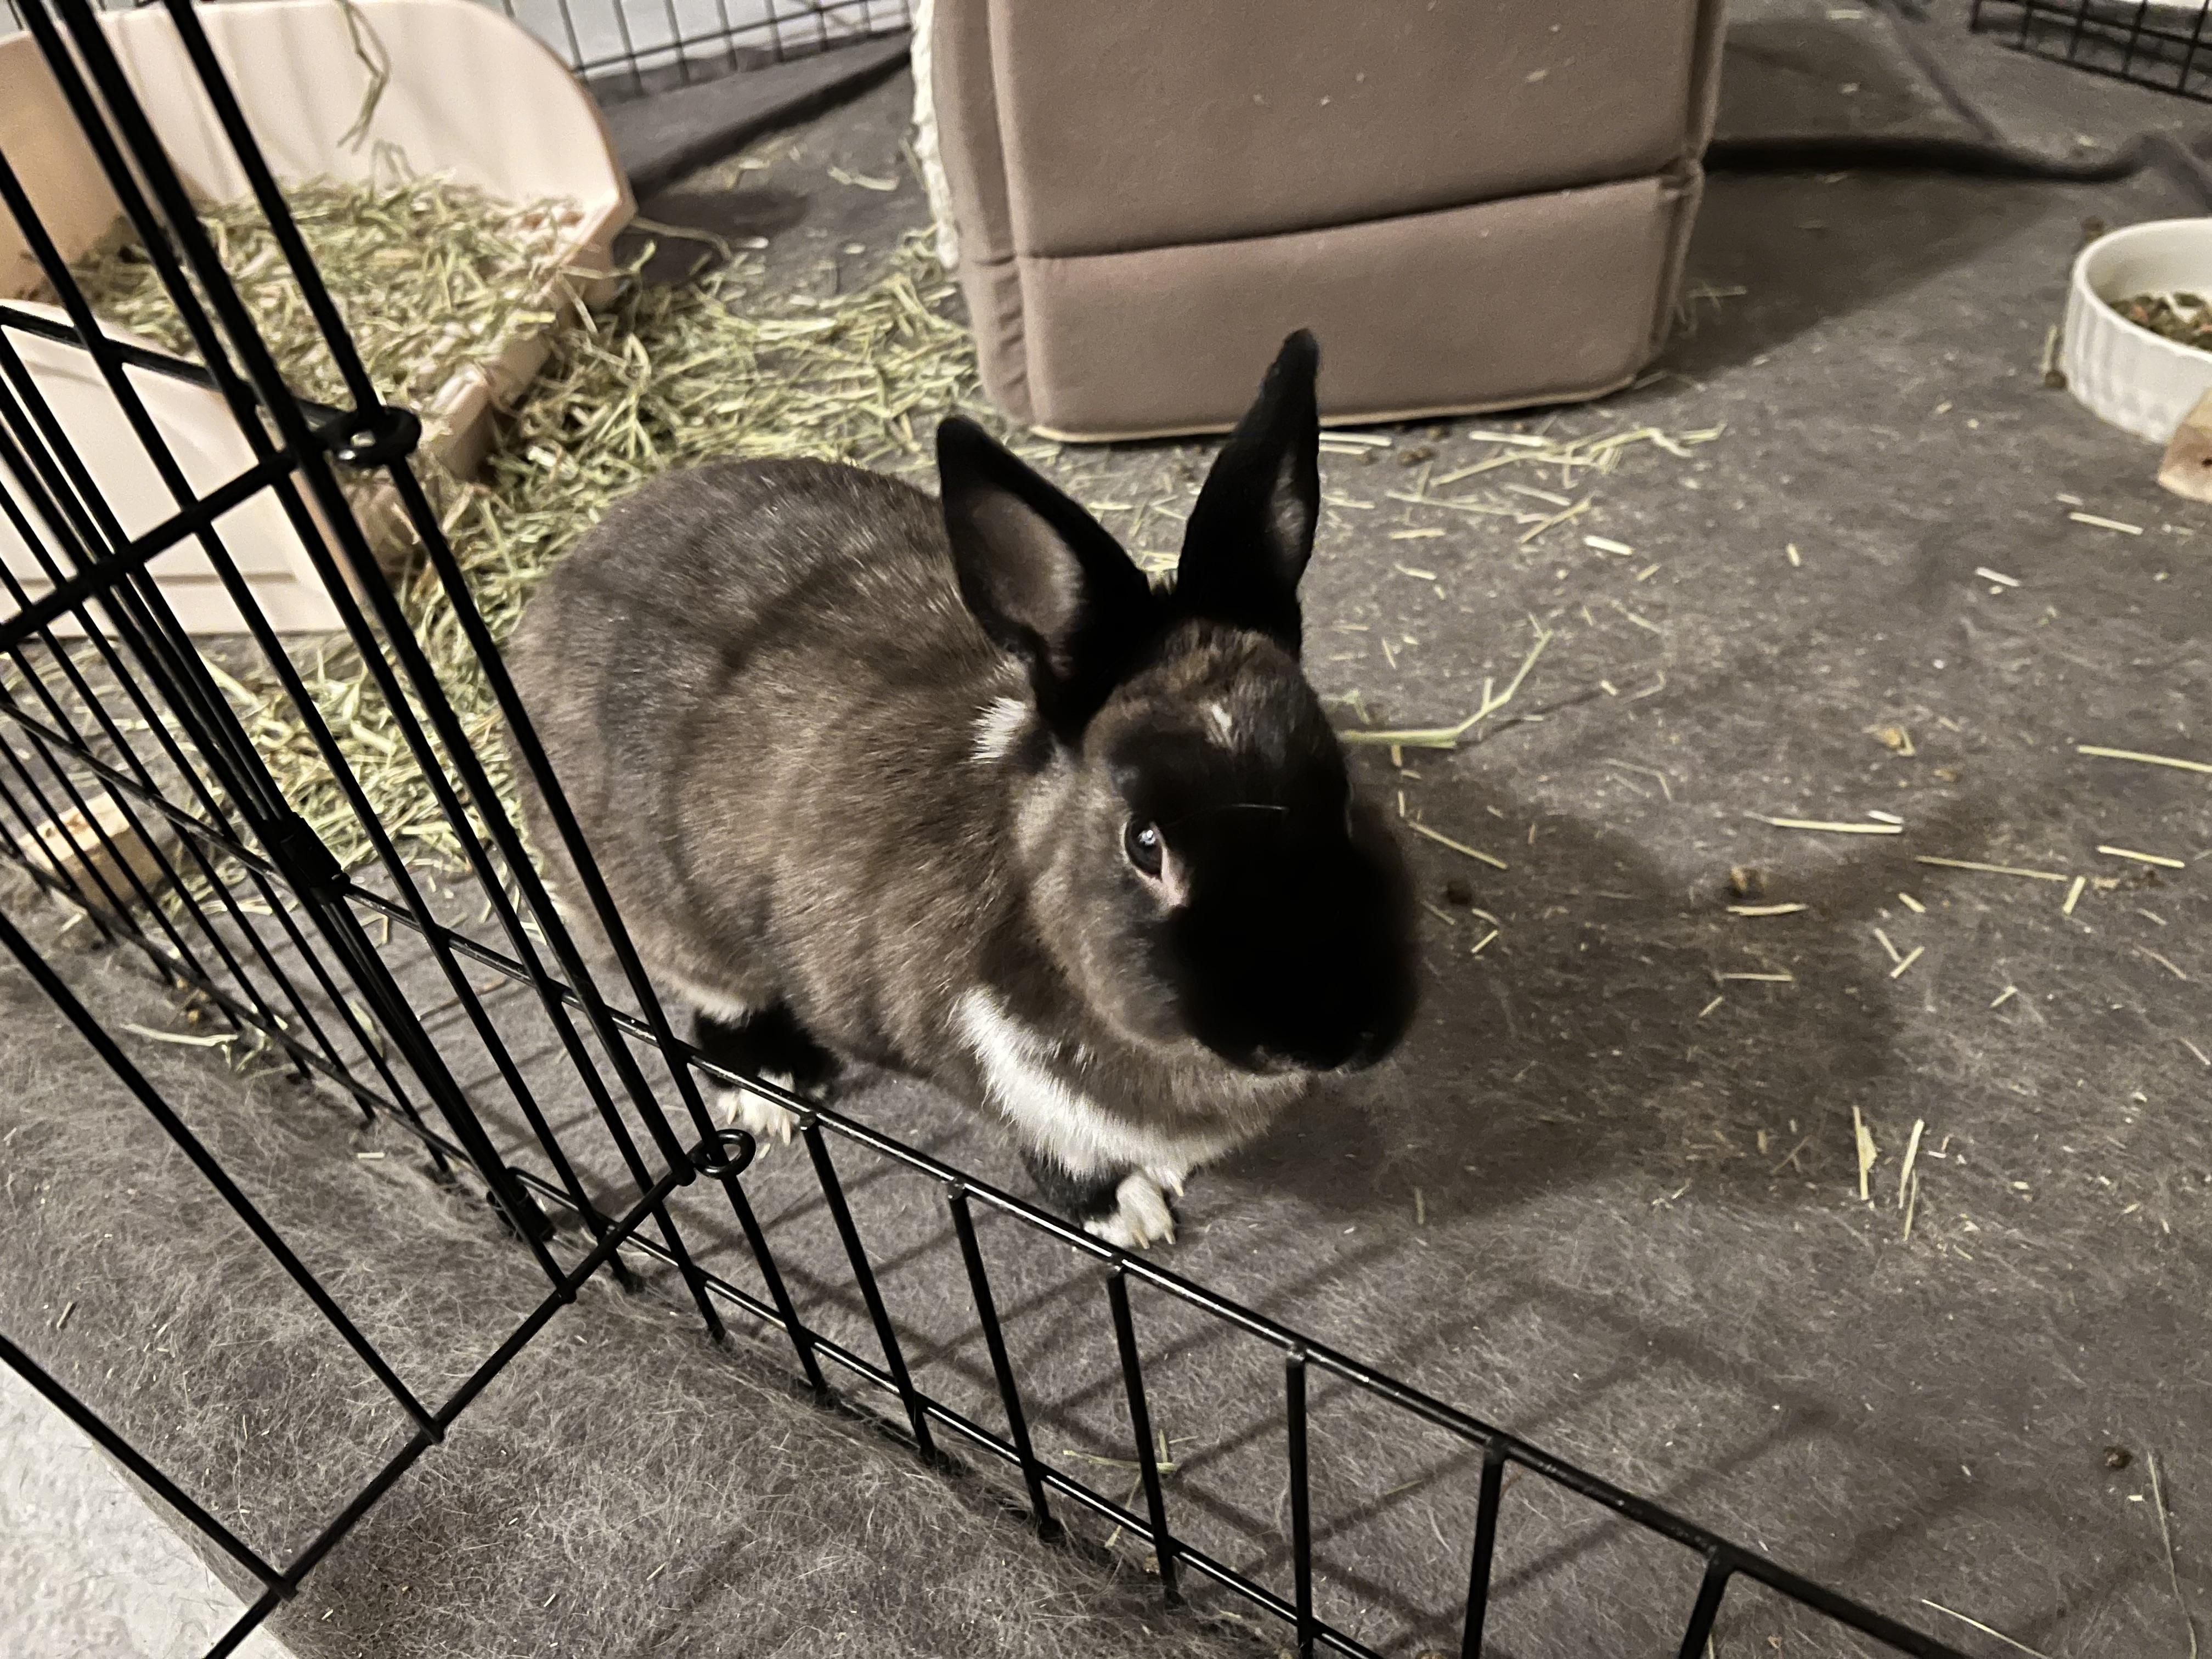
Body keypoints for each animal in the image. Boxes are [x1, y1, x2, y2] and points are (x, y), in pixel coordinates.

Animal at [502, 331, 1417, 1249]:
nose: (1330, 1035)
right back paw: (771, 1090)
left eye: (1342, 790)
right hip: (666, 925)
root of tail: (567, 577)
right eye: (1144, 843)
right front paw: (1127, 1219)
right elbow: (1062, 1157)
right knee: (712, 1003)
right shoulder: (1021, 1092)